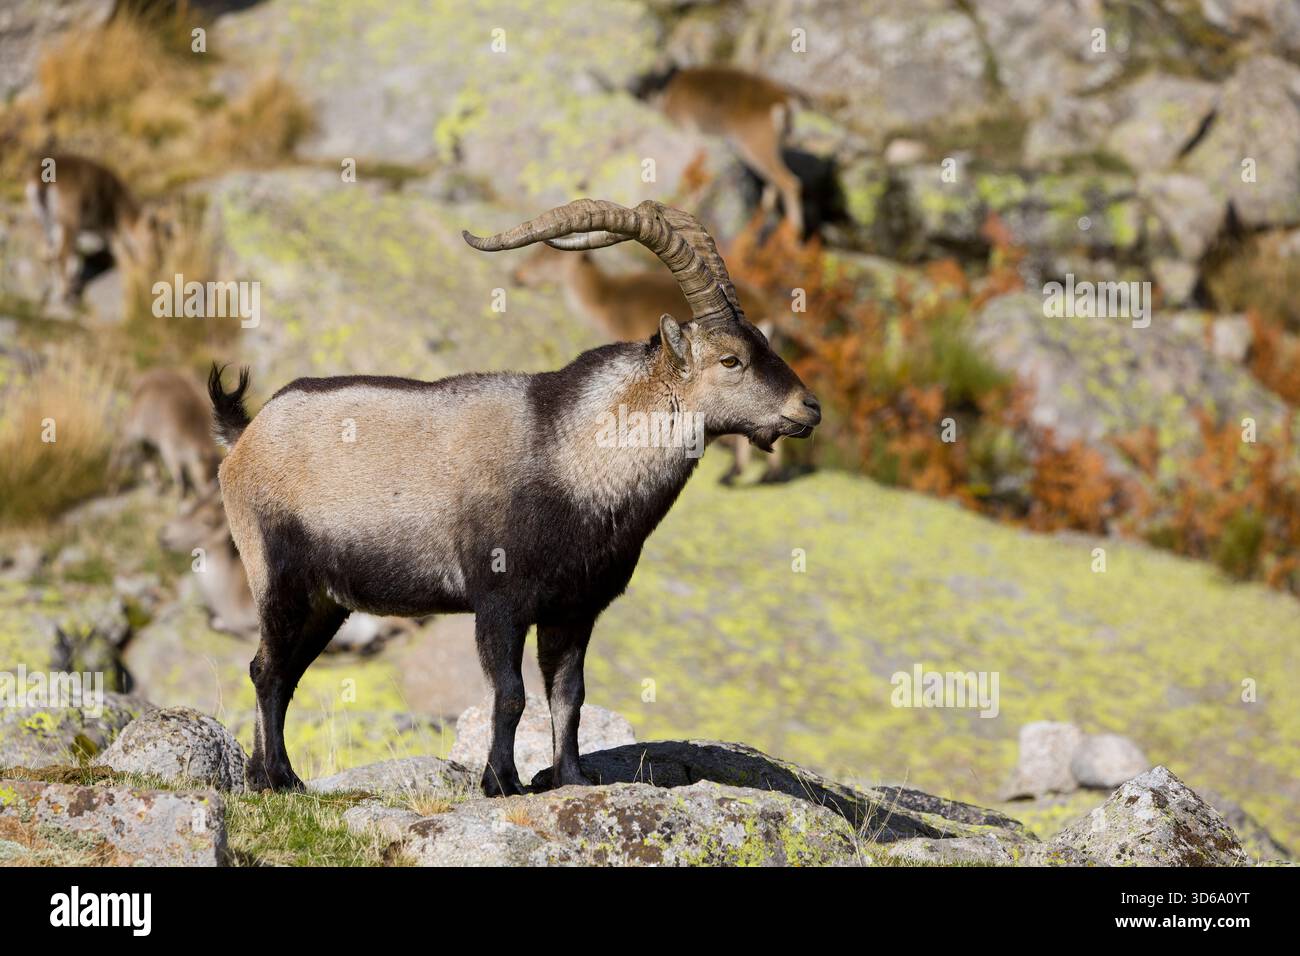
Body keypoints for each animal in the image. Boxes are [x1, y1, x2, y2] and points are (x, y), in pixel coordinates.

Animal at [25, 153, 170, 303]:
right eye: (153, 241)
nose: (154, 267)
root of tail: (41, 181)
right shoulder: (109, 225)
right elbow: (120, 250)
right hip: (68, 220)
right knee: (60, 255)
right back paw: (66, 295)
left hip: (46, 223)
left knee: (49, 253)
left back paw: (59, 292)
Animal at [115, 368, 220, 498]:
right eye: (206, 478)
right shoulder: (169, 447)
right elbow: (176, 470)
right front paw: (180, 492)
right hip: (132, 428)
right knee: (122, 445)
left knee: (147, 458)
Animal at [510, 242, 797, 484]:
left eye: (548, 256)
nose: (518, 276)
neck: (607, 302)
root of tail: (769, 312)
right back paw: (770, 475)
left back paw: (733, 474)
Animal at [632, 65, 807, 238]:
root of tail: (781, 100)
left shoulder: (689, 132)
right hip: (776, 147)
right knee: (774, 186)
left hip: (756, 147)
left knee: (789, 183)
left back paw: (794, 230)